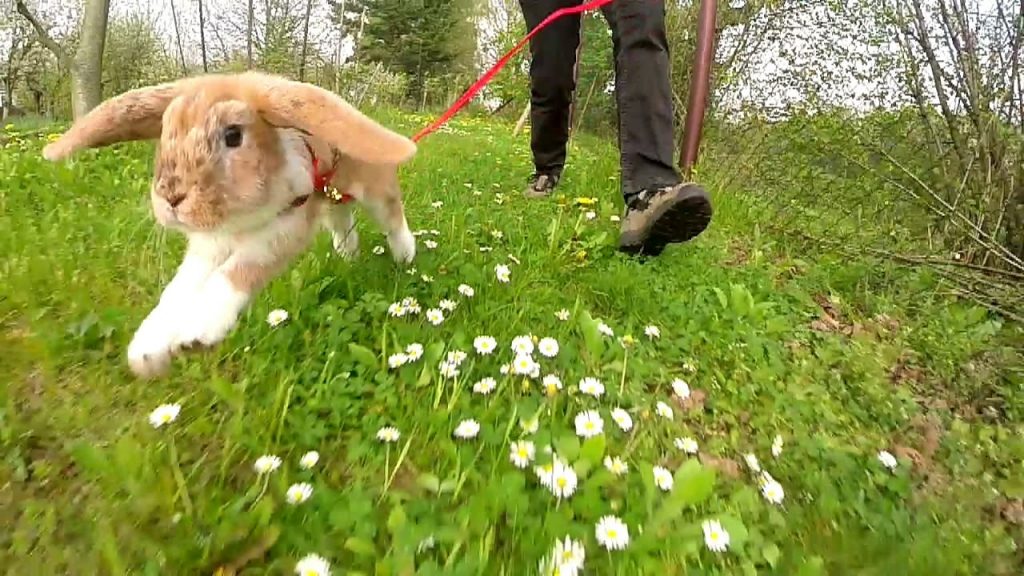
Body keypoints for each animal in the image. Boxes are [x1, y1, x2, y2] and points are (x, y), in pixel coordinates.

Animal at [41, 71, 420, 379]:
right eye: (165, 133)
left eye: (233, 135)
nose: (171, 197)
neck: (237, 220)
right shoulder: (207, 247)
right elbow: (178, 289)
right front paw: (147, 352)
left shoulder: (284, 227)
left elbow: (237, 271)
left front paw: (196, 334)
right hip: (330, 199)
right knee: (344, 225)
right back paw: (349, 258)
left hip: (374, 188)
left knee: (392, 219)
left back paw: (406, 256)